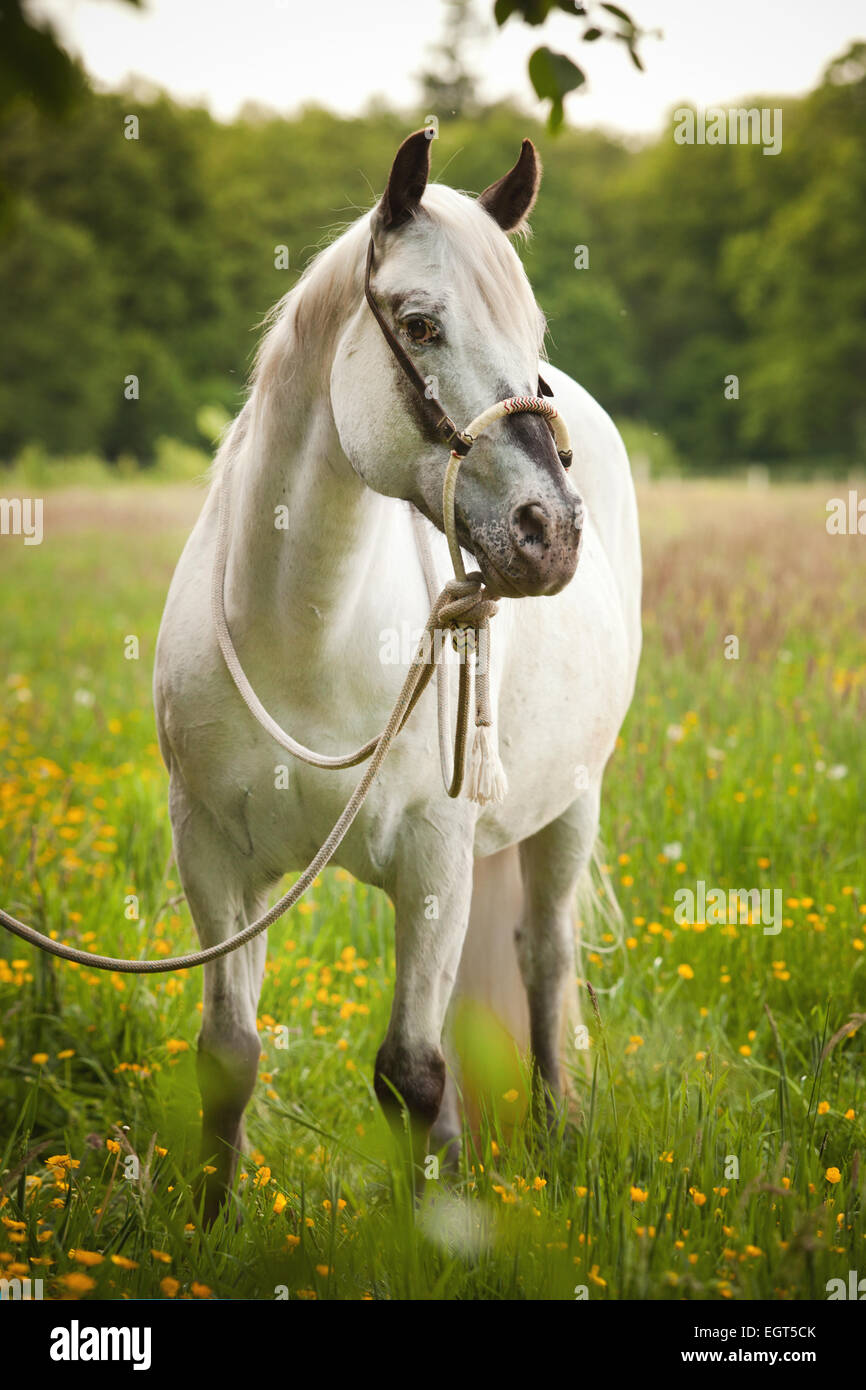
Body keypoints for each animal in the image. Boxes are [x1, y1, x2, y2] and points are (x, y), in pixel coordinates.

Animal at [153, 129, 642, 1220]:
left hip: (569, 806)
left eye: (533, 333)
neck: (301, 638)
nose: (550, 533)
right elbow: (228, 1055)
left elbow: (409, 1071)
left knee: (543, 960)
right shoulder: (213, 856)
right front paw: (200, 1229)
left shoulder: (430, 858)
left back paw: (557, 1127)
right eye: (419, 325)